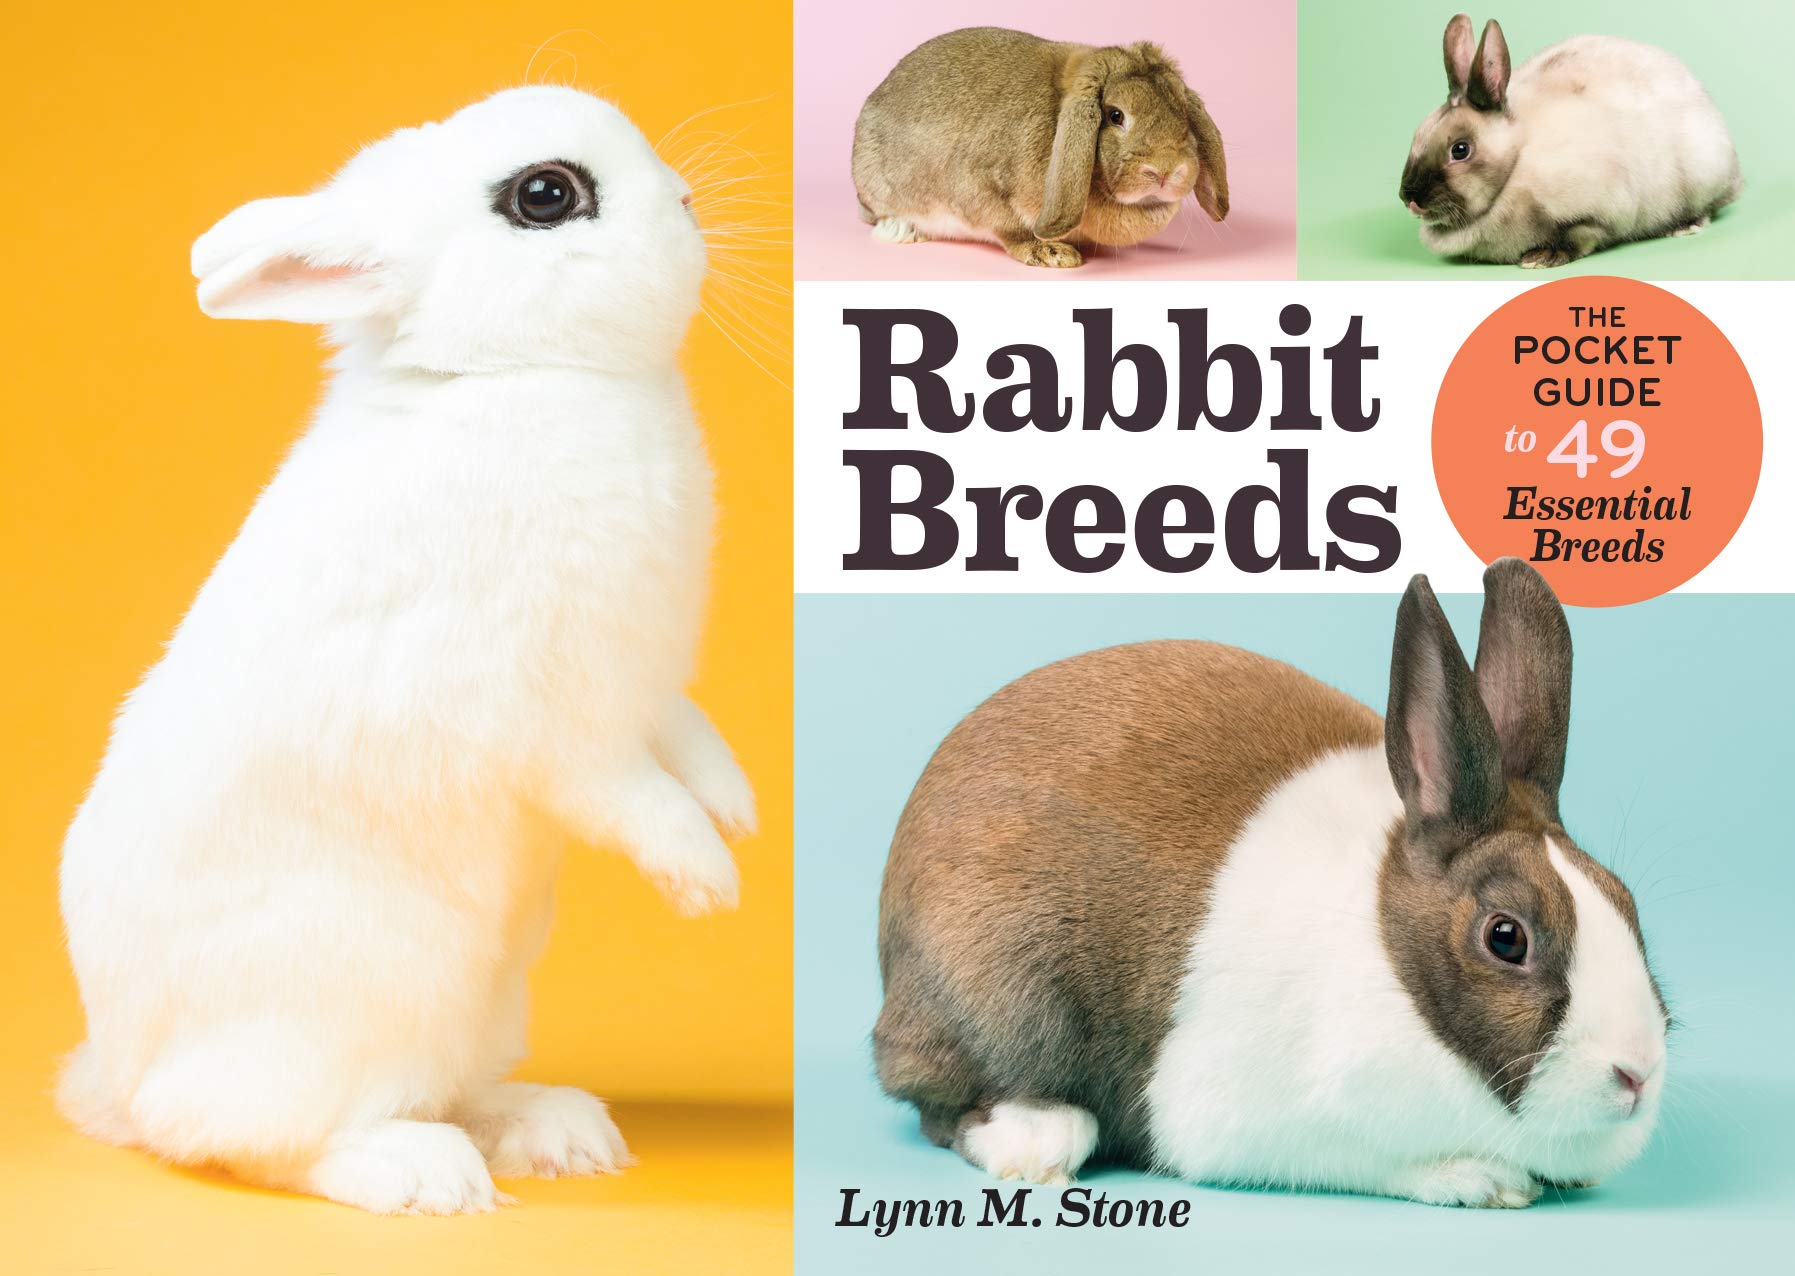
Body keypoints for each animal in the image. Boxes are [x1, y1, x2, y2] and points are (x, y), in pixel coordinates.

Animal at [55, 85, 757, 1215]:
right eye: (545, 195)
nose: (687, 202)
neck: (511, 374)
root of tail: (121, 1076)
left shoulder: (647, 689)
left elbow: (688, 742)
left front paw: (737, 810)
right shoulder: (552, 719)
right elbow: (630, 795)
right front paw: (706, 877)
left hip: (484, 1000)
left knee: (441, 1090)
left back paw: (556, 1130)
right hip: (358, 998)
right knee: (249, 1137)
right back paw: (421, 1173)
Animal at [851, 27, 1228, 269]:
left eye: (1182, 113)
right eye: (1115, 115)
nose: (1166, 170)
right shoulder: (982, 190)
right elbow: (1011, 231)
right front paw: (1055, 255)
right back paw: (900, 230)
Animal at [875, 559, 1668, 1207]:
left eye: (1626, 903)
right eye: (1506, 938)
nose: (1636, 1074)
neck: (1390, 962)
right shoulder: (1266, 1123)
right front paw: (1480, 1179)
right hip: (1003, 997)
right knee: (936, 1097)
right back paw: (1040, 1142)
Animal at [1400, 14, 1742, 267]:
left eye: (1460, 150)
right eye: (1418, 133)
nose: (1409, 198)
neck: (1518, 158)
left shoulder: (1600, 211)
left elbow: (1581, 235)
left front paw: (1542, 257)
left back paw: (1684, 225)